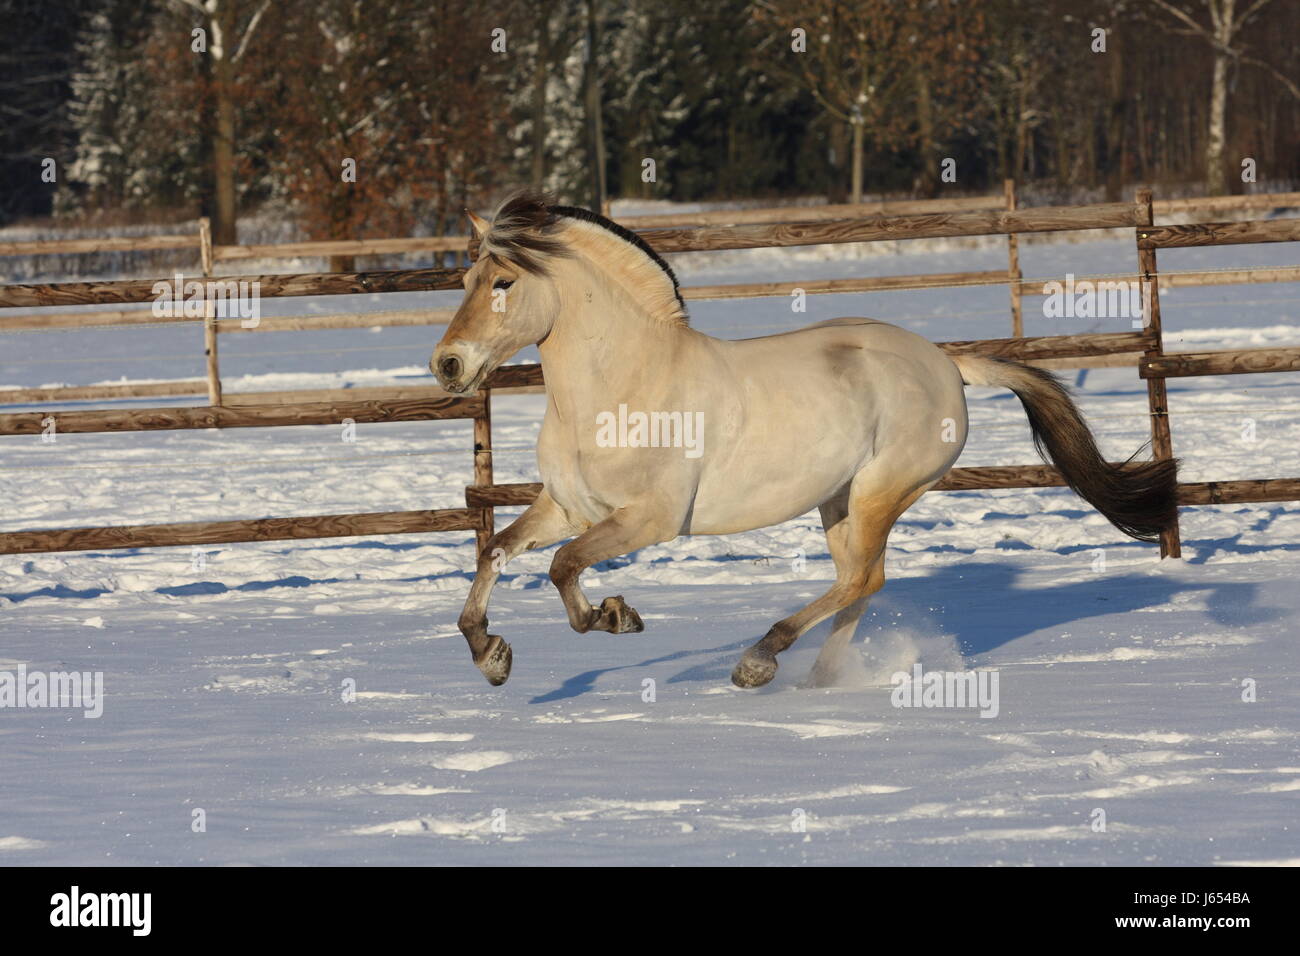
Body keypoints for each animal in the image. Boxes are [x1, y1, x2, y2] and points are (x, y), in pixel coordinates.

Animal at [430, 191, 1178, 690]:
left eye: (503, 282)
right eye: (463, 281)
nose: (448, 366)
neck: (623, 383)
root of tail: (945, 362)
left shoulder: (649, 520)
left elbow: (563, 568)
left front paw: (616, 617)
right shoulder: (567, 506)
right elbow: (497, 550)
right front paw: (491, 656)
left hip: (880, 491)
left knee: (863, 578)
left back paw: (761, 660)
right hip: (838, 500)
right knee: (860, 582)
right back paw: (817, 680)